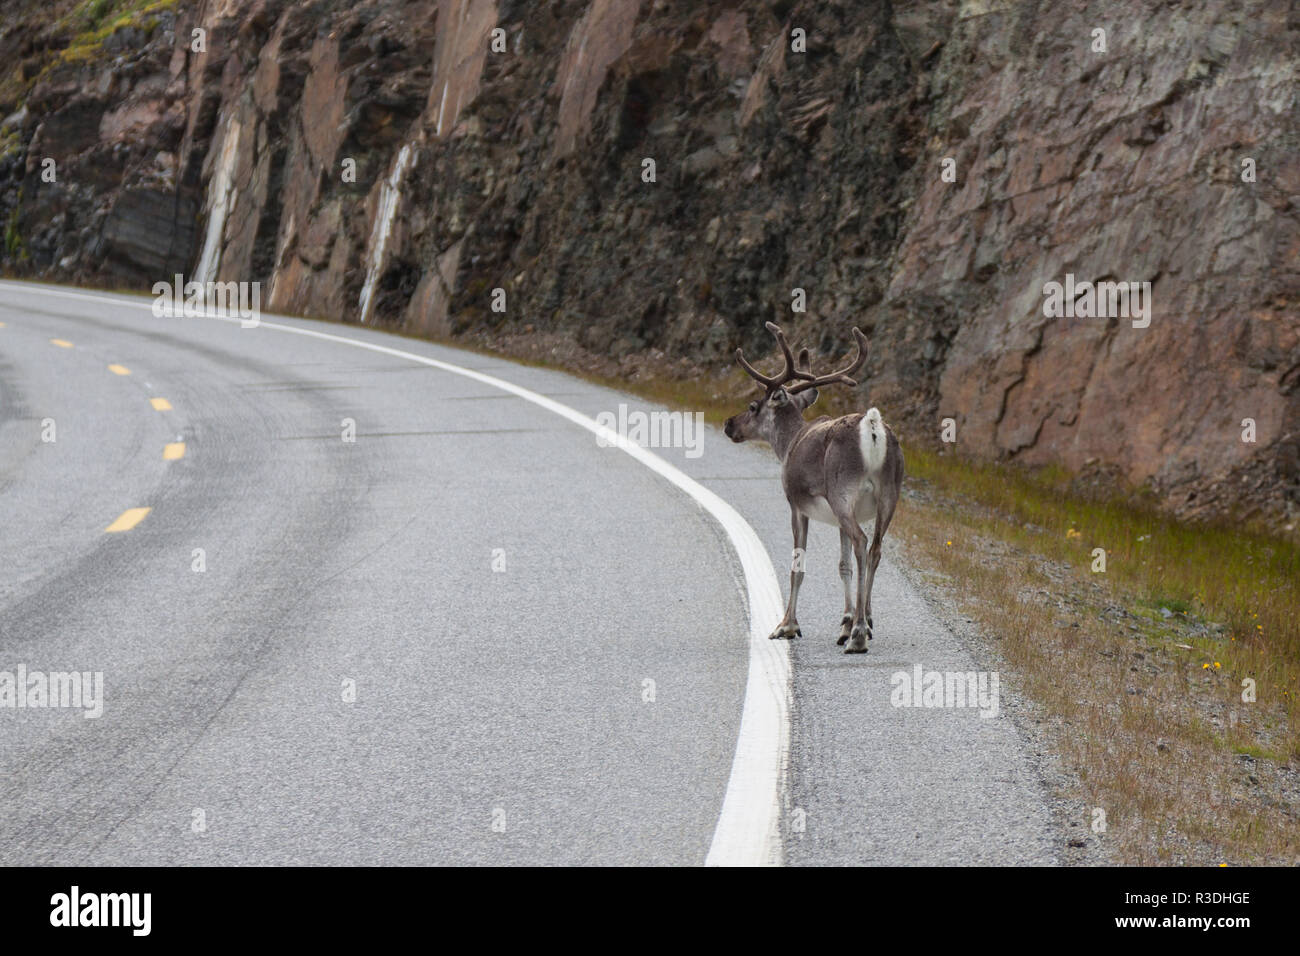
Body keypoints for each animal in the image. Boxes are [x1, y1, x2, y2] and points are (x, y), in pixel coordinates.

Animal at [723, 322, 904, 654]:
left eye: (753, 406)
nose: (729, 424)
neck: (786, 445)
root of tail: (872, 429)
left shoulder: (796, 505)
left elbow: (798, 567)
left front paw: (786, 625)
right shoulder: (840, 517)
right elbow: (843, 565)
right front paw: (846, 621)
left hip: (842, 492)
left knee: (862, 542)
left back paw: (859, 635)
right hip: (889, 493)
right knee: (874, 549)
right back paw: (865, 623)